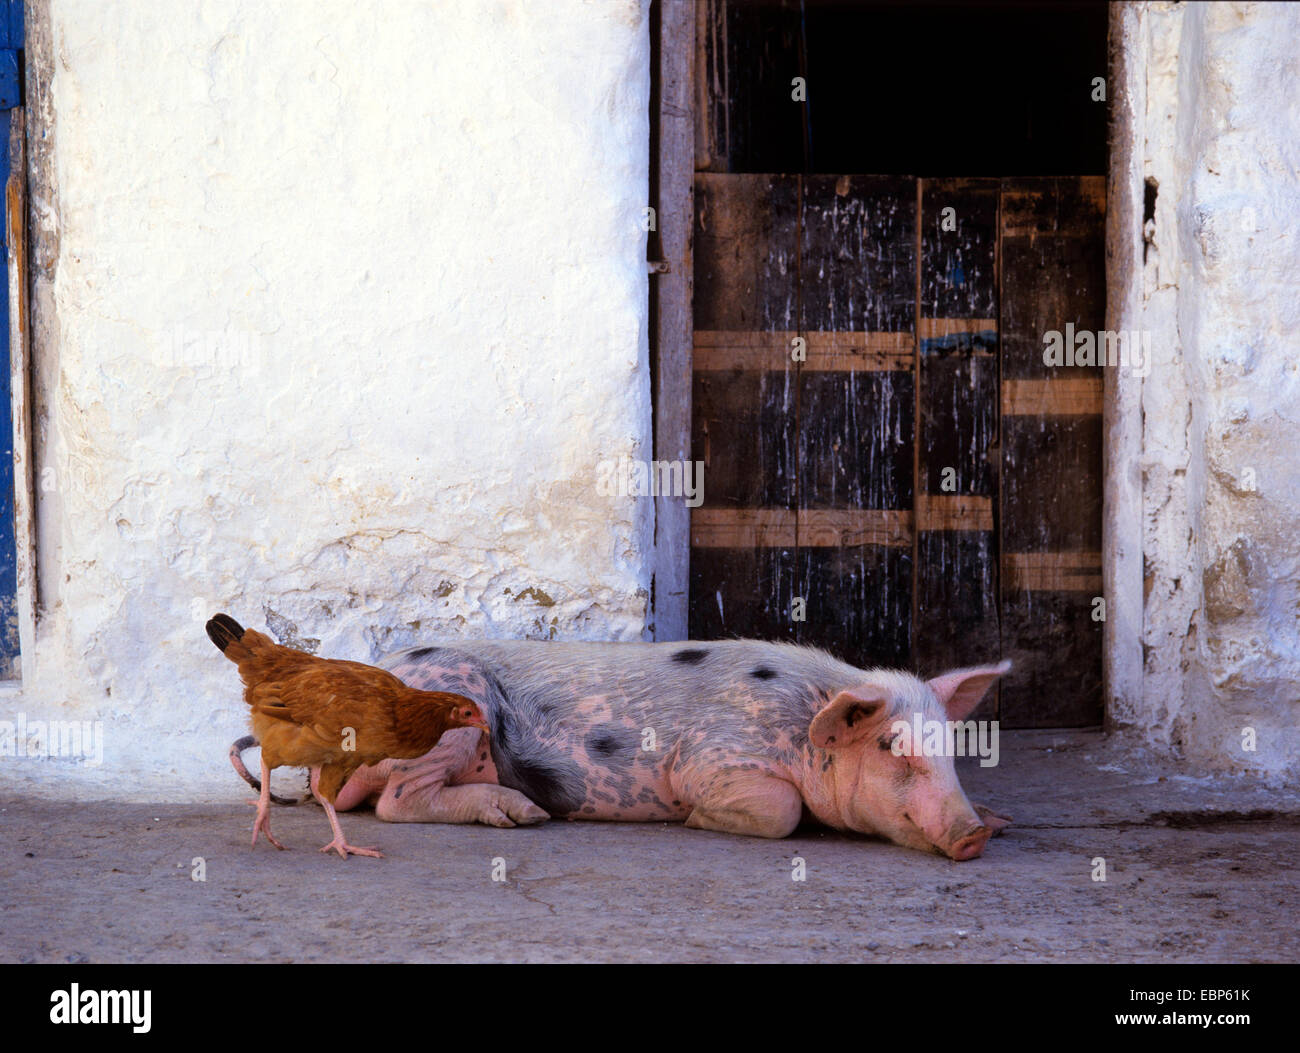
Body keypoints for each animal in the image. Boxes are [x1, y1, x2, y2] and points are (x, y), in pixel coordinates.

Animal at [232, 640, 1012, 859]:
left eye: (951, 753)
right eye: (891, 748)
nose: (971, 834)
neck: (797, 725)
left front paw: (1002, 819)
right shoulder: (714, 759)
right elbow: (782, 810)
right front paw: (694, 820)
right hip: (452, 712)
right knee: (397, 801)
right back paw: (521, 813)